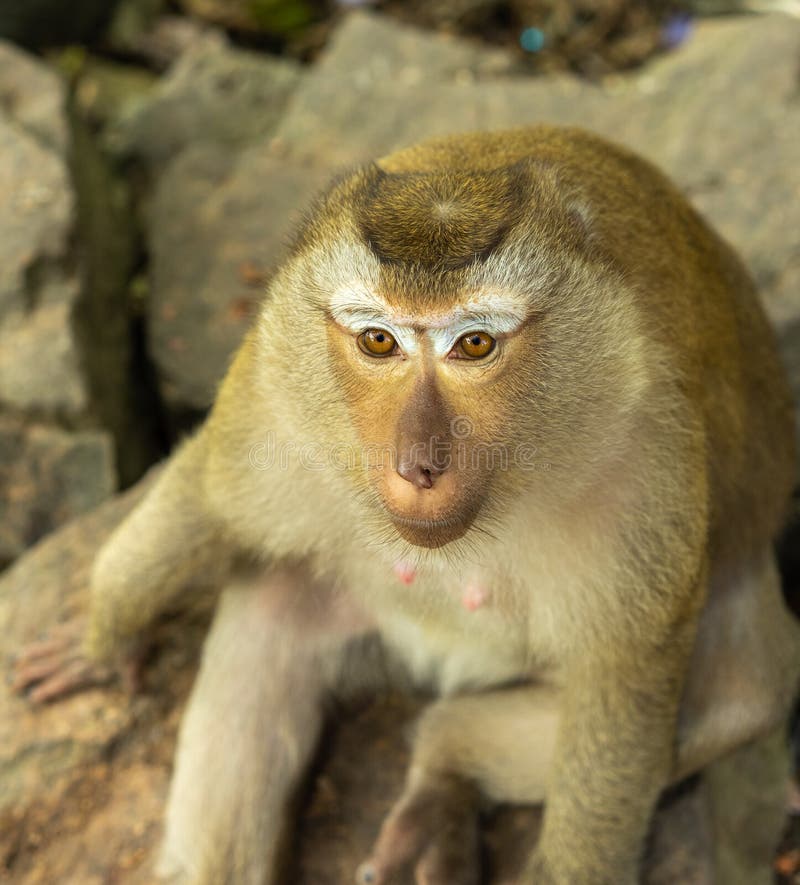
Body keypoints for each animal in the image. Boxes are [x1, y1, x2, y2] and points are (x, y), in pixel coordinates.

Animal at [12, 125, 800, 885]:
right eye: (378, 340)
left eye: (474, 344)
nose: (417, 462)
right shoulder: (274, 392)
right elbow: (208, 498)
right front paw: (101, 639)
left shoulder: (648, 456)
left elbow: (623, 686)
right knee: (263, 629)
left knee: (732, 705)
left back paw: (446, 761)